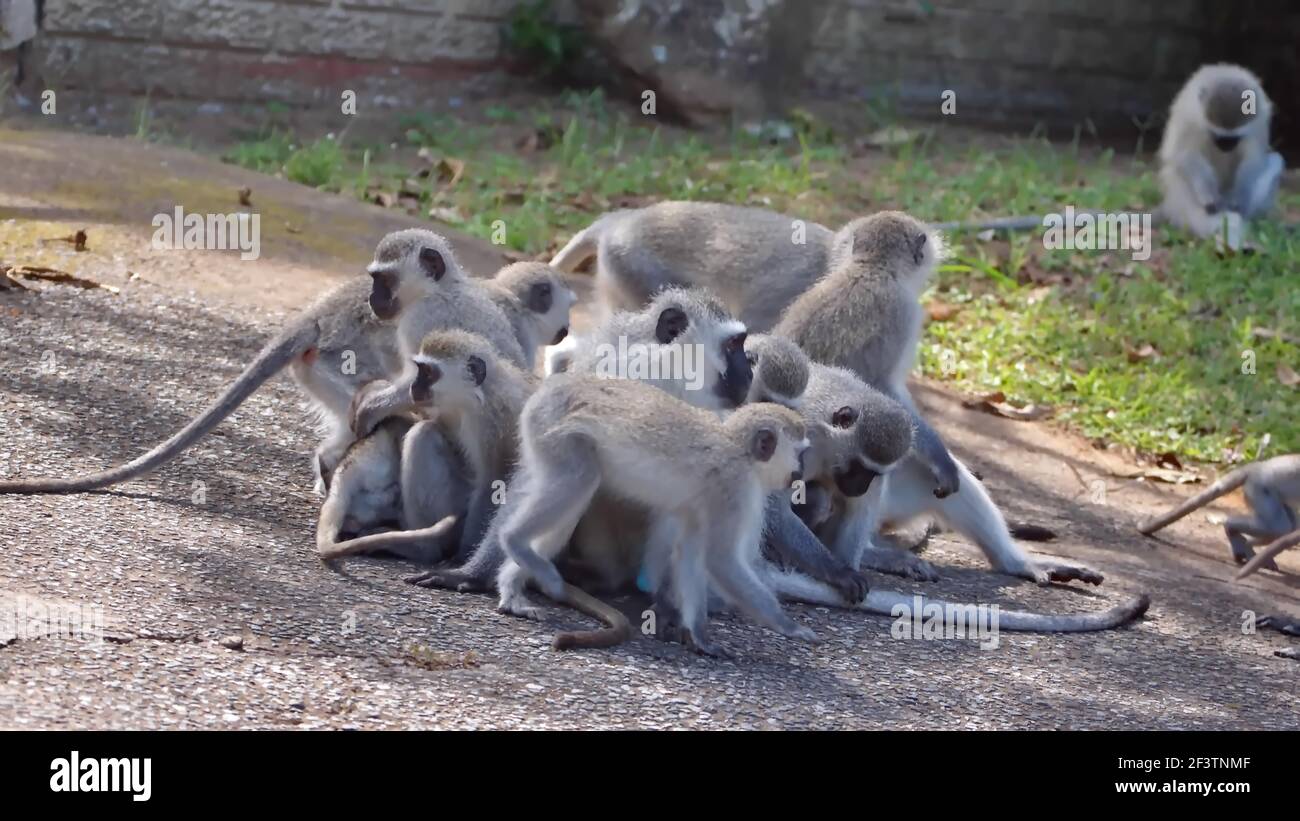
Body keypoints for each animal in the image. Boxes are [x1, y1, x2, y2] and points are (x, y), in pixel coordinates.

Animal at [0, 229, 527, 496]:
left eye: (384, 280)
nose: (374, 299)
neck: (442, 288)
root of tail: (317, 311)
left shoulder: (422, 320)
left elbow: (417, 380)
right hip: (323, 364)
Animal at [493, 373, 815, 657]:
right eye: (799, 454)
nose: (800, 472)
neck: (740, 449)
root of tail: (545, 391)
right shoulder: (733, 489)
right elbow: (720, 560)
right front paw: (789, 626)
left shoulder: (703, 507)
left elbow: (690, 553)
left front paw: (699, 635)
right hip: (555, 429)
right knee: (581, 479)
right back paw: (513, 540)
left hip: (542, 438)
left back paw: (512, 589)